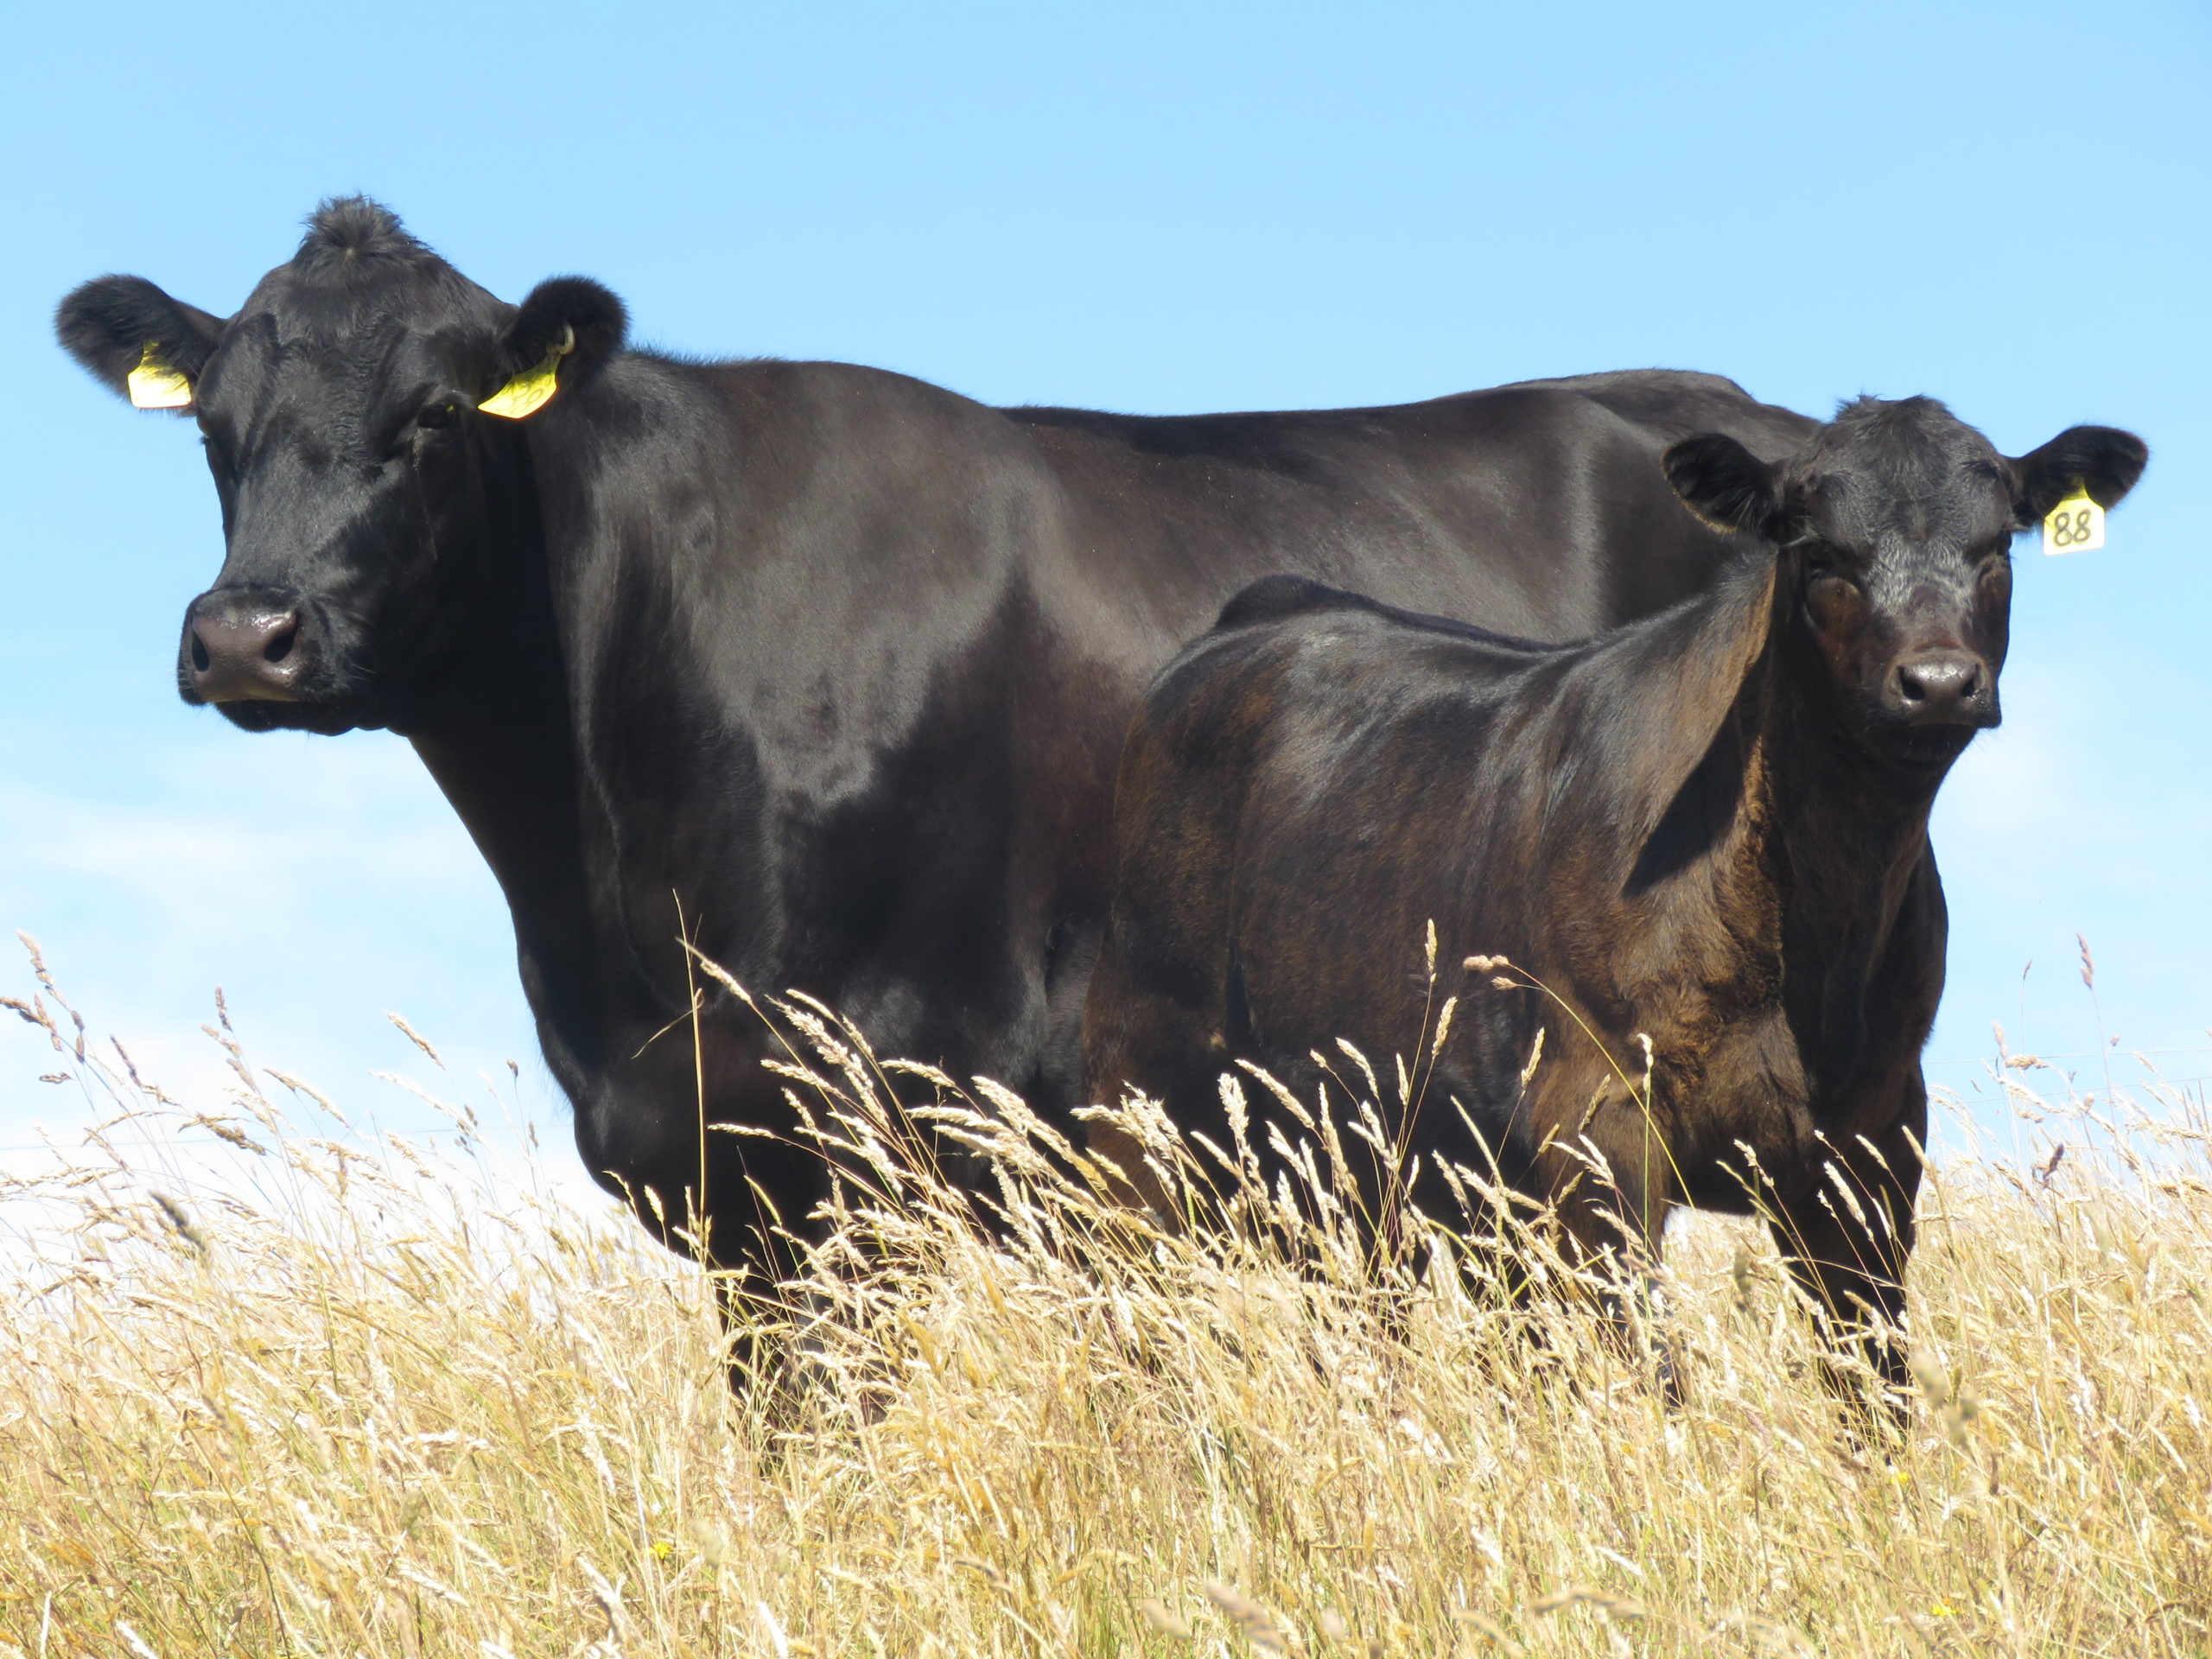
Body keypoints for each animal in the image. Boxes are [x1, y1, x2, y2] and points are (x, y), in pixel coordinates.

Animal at [1081, 396, 2145, 1408]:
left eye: (1997, 545)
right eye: (1815, 547)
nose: (1937, 682)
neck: (1812, 933)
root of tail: (1266, 612)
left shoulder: (1873, 1142)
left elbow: (1870, 1385)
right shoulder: (1594, 1129)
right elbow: (1648, 1375)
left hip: (1375, 1162)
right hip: (1143, 1106)